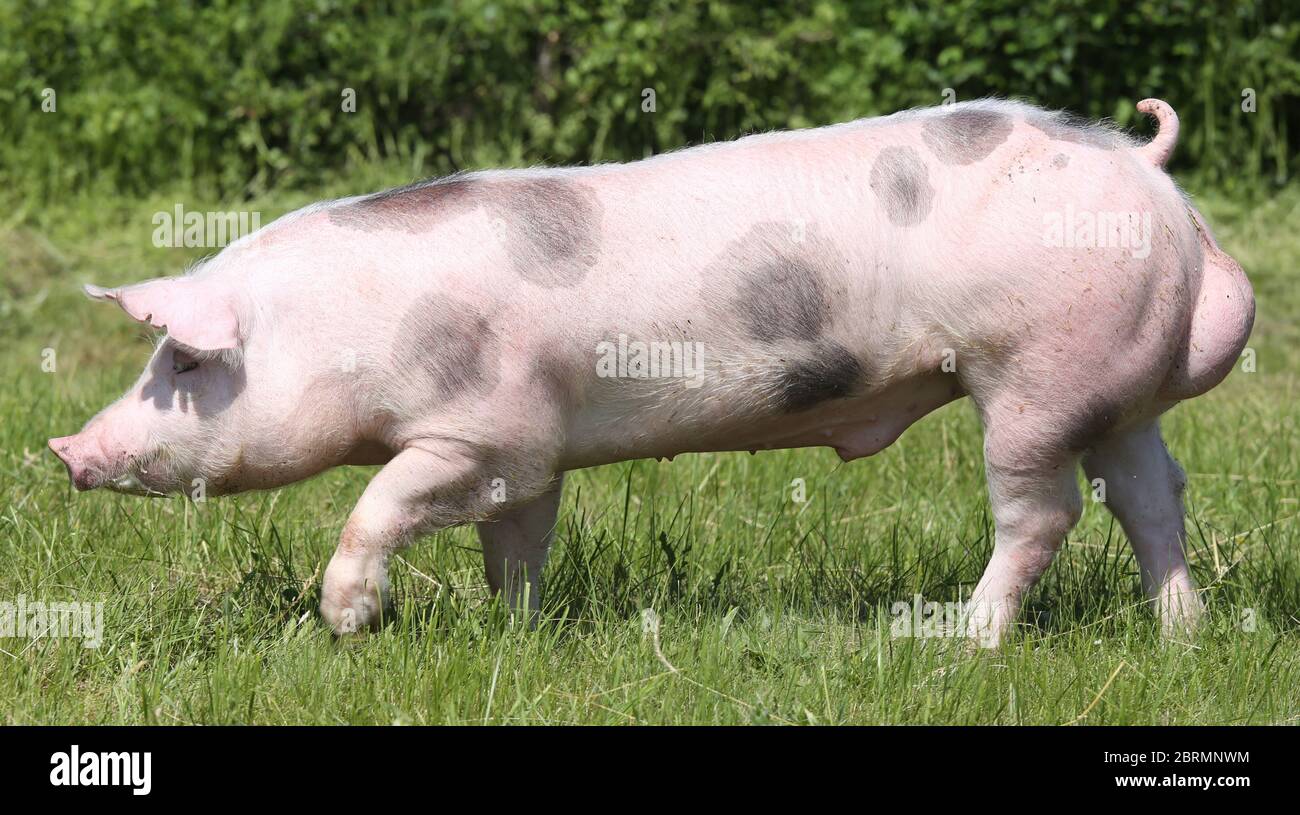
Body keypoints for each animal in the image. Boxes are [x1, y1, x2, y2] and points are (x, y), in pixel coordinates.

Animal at [49, 98, 1253, 646]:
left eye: (185, 358)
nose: (65, 447)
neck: (344, 325)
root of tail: (1144, 168)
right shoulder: (530, 448)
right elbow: (516, 542)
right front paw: (517, 632)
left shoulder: (477, 428)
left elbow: (381, 499)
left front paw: (347, 623)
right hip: (1114, 385)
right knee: (1154, 496)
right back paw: (1183, 635)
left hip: (1035, 375)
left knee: (1045, 510)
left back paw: (962, 639)